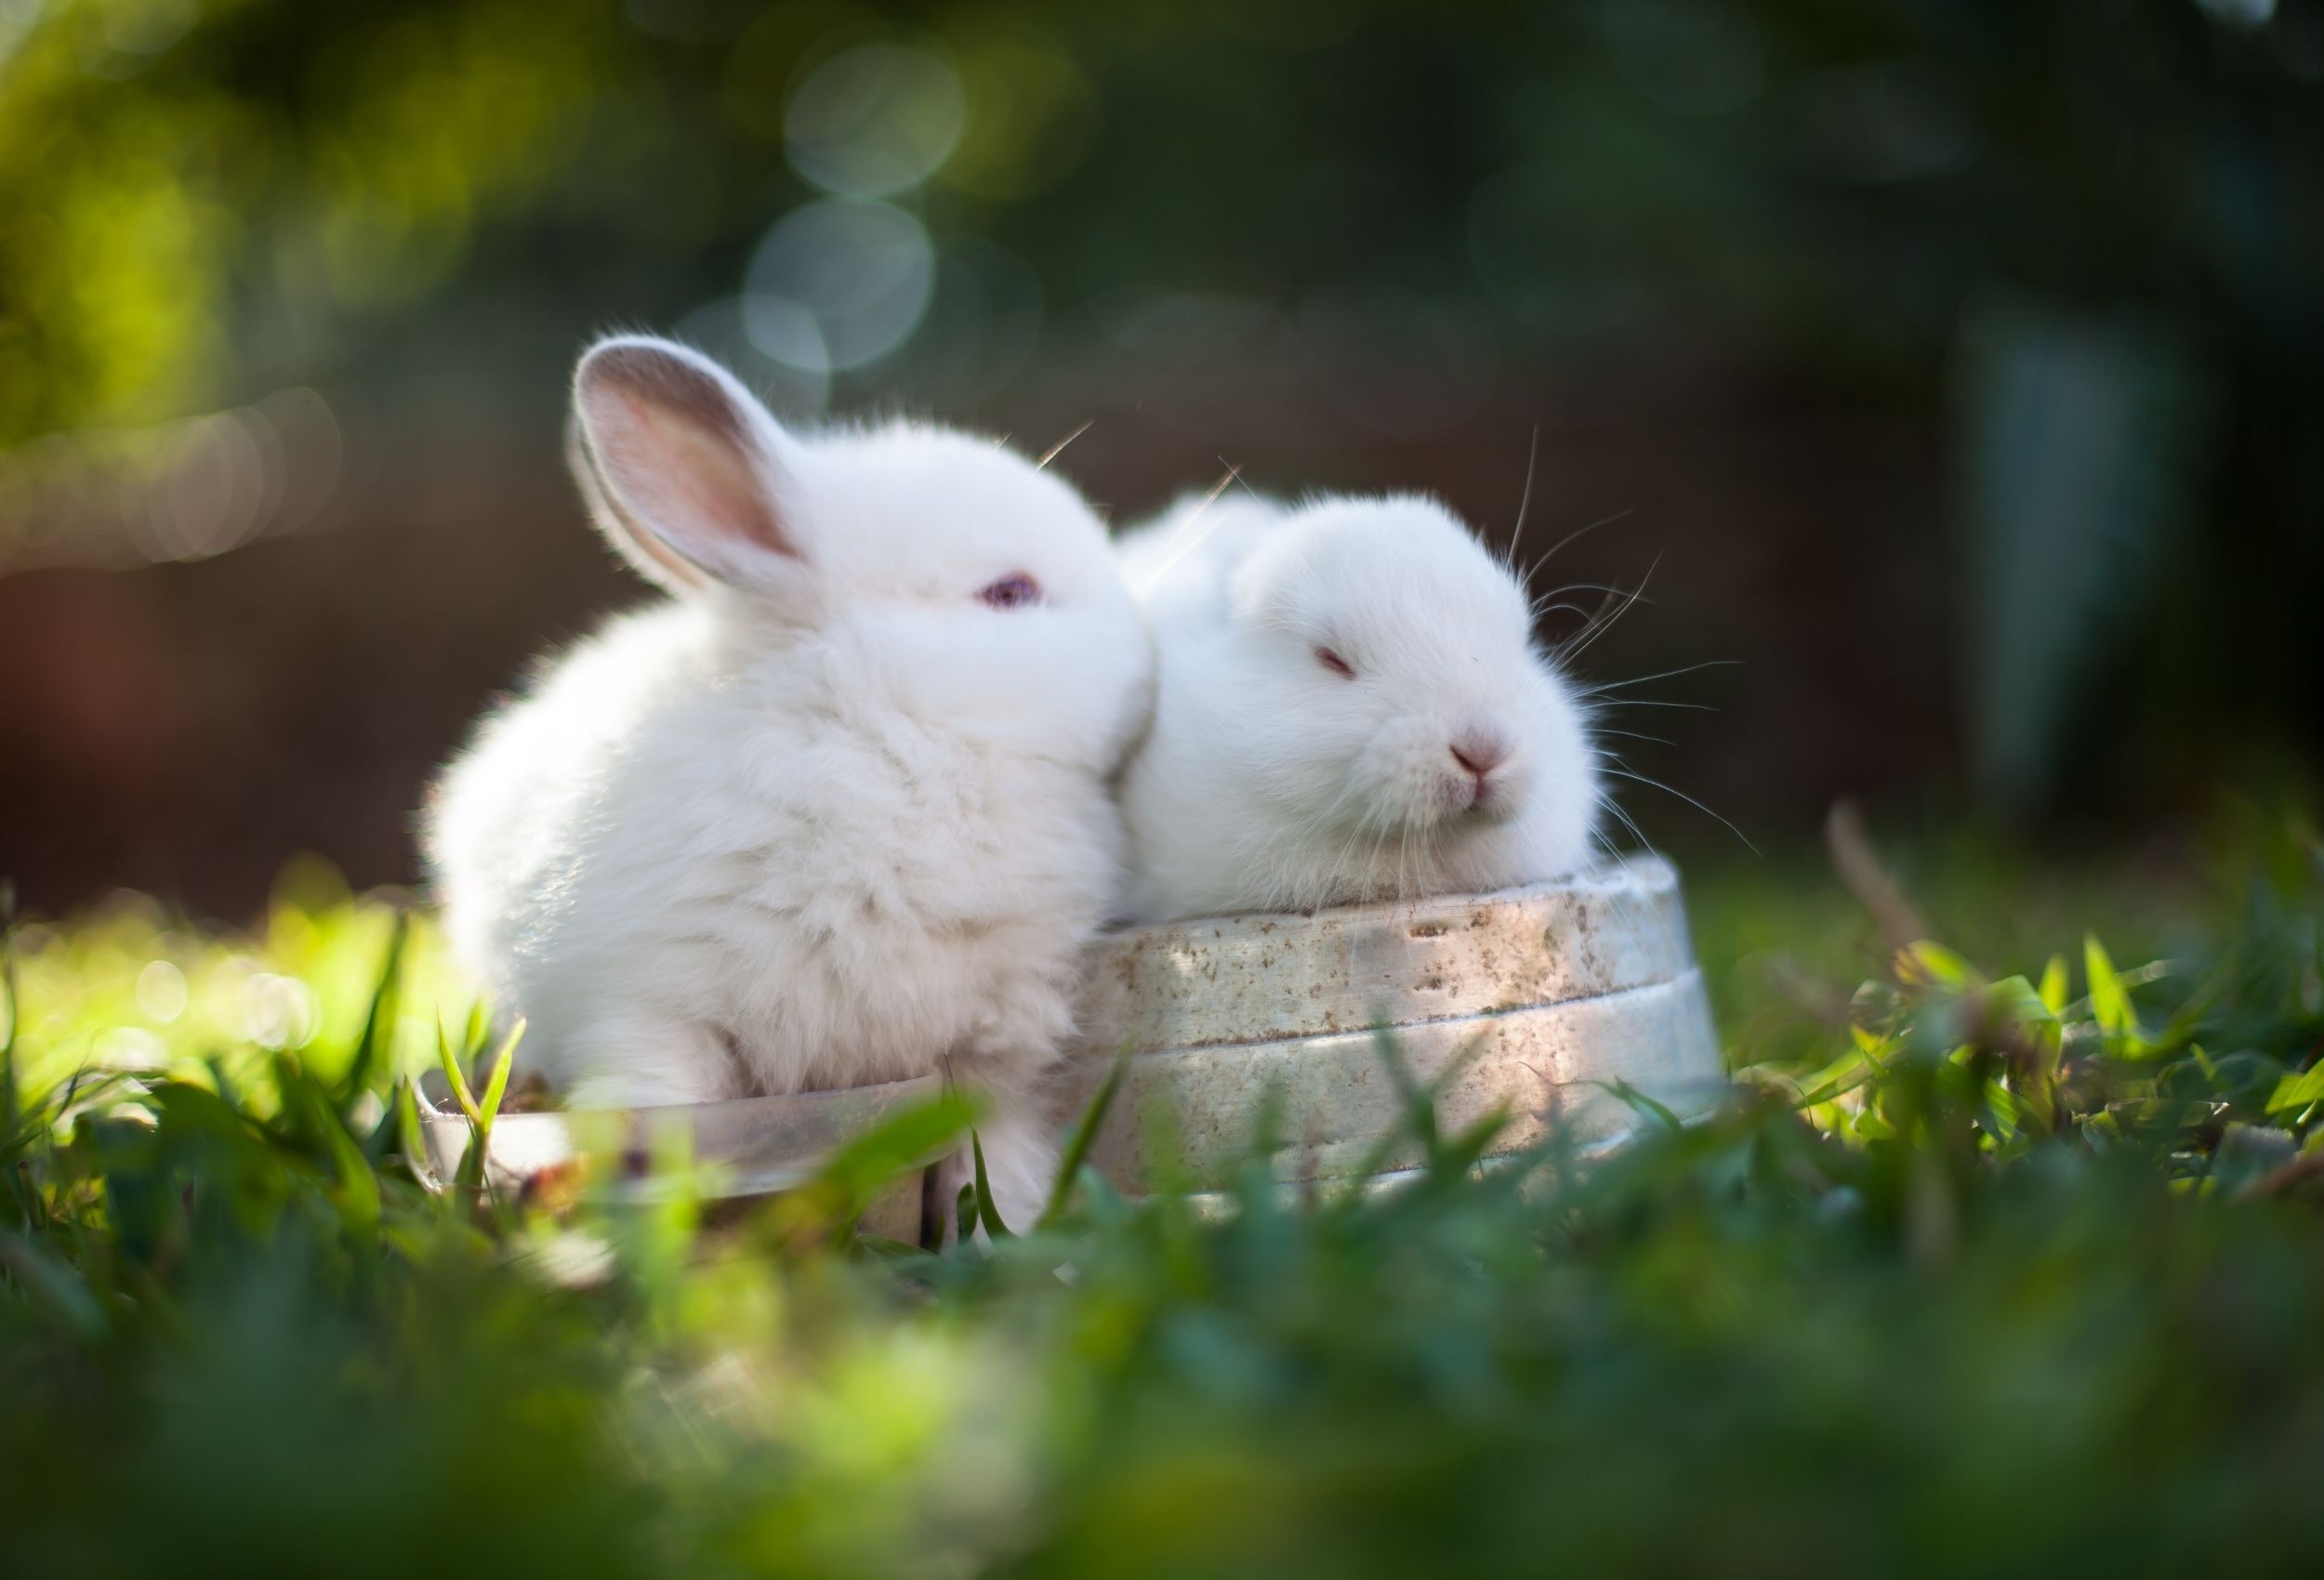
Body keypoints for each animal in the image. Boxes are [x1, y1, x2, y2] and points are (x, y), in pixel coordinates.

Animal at [424, 334, 1154, 1229]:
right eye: (1009, 593)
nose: (1148, 655)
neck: (885, 738)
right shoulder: (647, 1010)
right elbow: (659, 1103)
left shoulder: (993, 1055)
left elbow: (997, 1162)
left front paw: (1009, 1234)